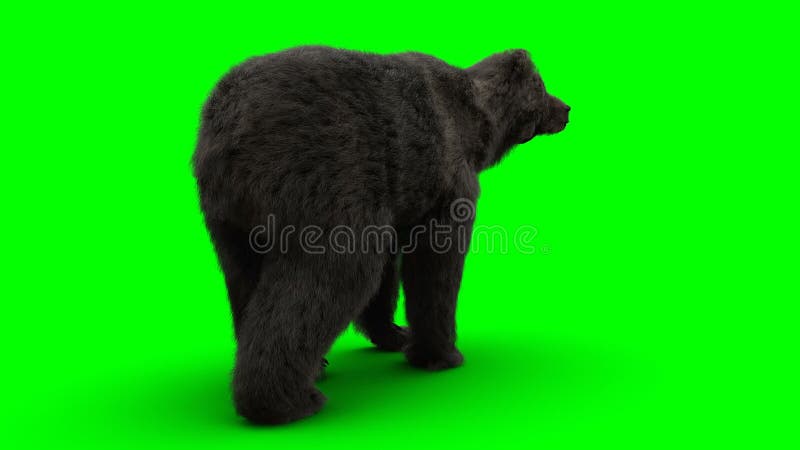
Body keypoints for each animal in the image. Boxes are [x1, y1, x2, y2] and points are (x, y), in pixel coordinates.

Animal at [192, 46, 570, 424]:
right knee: (331, 276)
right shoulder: (444, 179)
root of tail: (232, 120)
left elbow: (387, 271)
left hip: (230, 218)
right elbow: (435, 268)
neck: (479, 126)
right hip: (320, 172)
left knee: (244, 278)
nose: (566, 109)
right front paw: (441, 354)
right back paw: (289, 401)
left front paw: (394, 333)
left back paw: (312, 368)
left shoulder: (396, 194)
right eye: (543, 87)